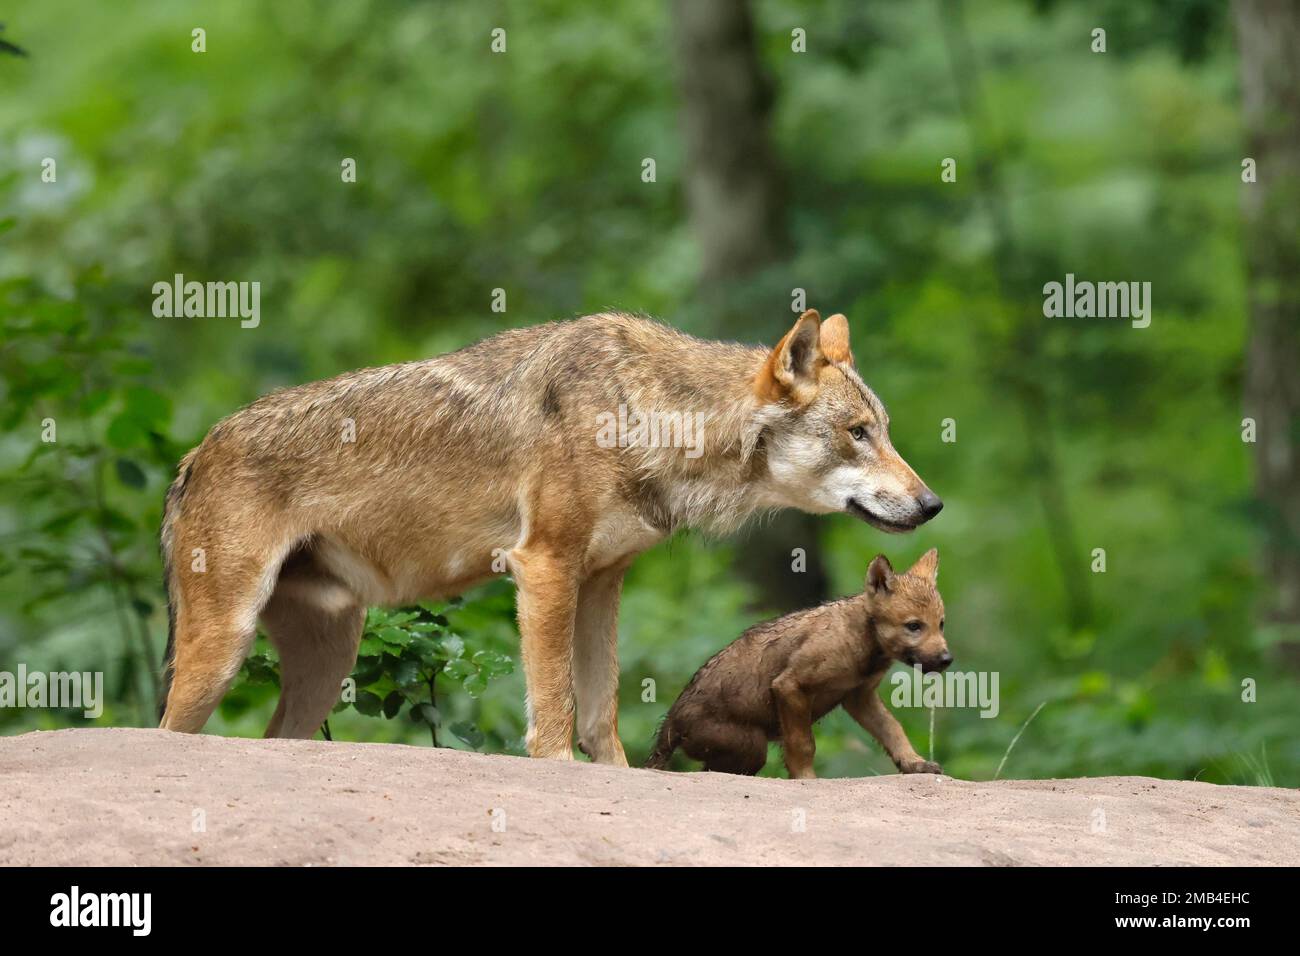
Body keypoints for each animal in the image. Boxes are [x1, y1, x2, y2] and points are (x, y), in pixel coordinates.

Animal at [645, 549, 950, 778]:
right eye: (914, 626)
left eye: (941, 624)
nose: (947, 659)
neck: (864, 641)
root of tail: (671, 720)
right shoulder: (790, 686)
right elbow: (804, 745)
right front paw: (806, 778)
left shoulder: (859, 696)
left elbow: (893, 730)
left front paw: (915, 763)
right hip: (752, 746)